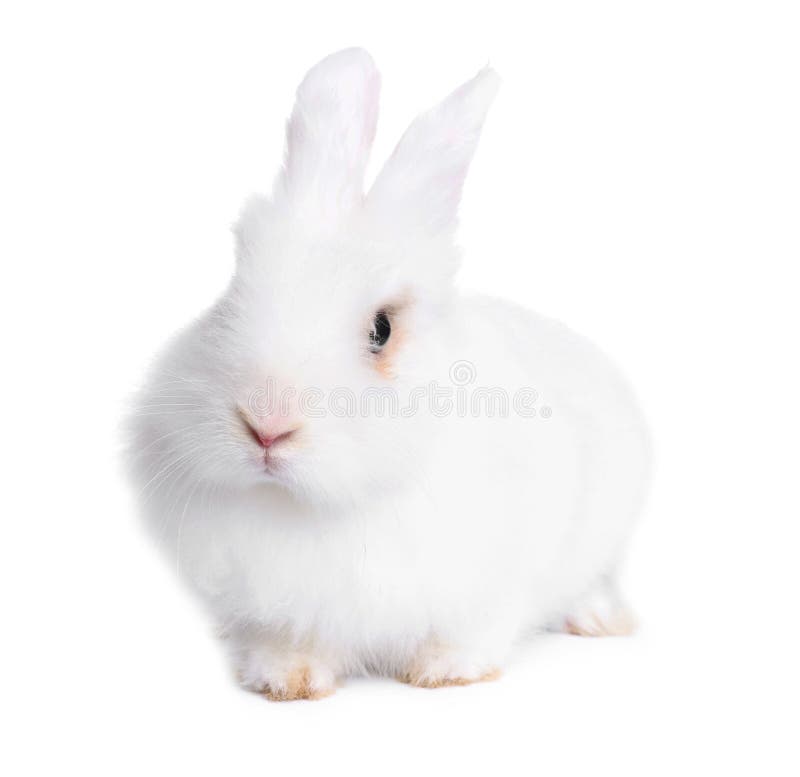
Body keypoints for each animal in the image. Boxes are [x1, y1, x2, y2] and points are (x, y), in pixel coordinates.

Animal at [126, 48, 651, 701]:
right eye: (229, 298)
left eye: (382, 329)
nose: (267, 426)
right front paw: (286, 678)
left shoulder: (494, 582)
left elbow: (473, 629)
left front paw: (447, 671)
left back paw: (600, 622)